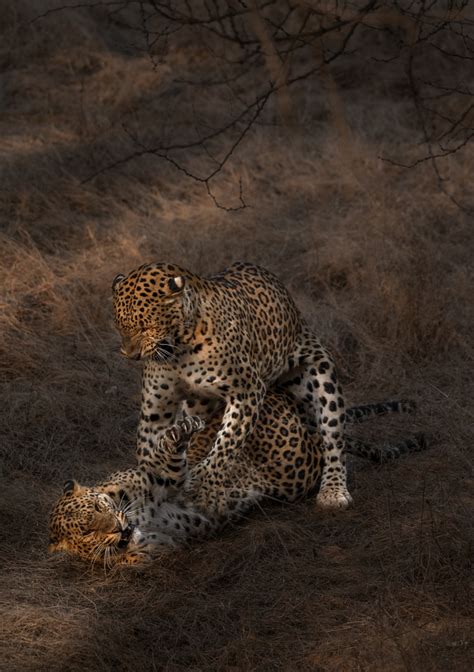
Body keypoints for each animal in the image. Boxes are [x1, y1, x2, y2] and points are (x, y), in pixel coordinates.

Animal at [48, 393, 426, 567]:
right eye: (87, 530)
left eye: (101, 507)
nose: (117, 527)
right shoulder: (160, 544)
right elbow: (141, 552)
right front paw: (124, 546)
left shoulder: (161, 479)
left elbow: (168, 459)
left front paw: (181, 431)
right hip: (297, 469)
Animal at [112, 261, 356, 512]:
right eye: (120, 327)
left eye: (145, 327)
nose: (131, 354)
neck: (178, 349)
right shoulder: (157, 407)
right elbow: (149, 450)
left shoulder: (247, 391)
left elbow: (226, 444)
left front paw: (205, 483)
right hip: (198, 404)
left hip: (321, 374)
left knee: (334, 439)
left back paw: (333, 490)